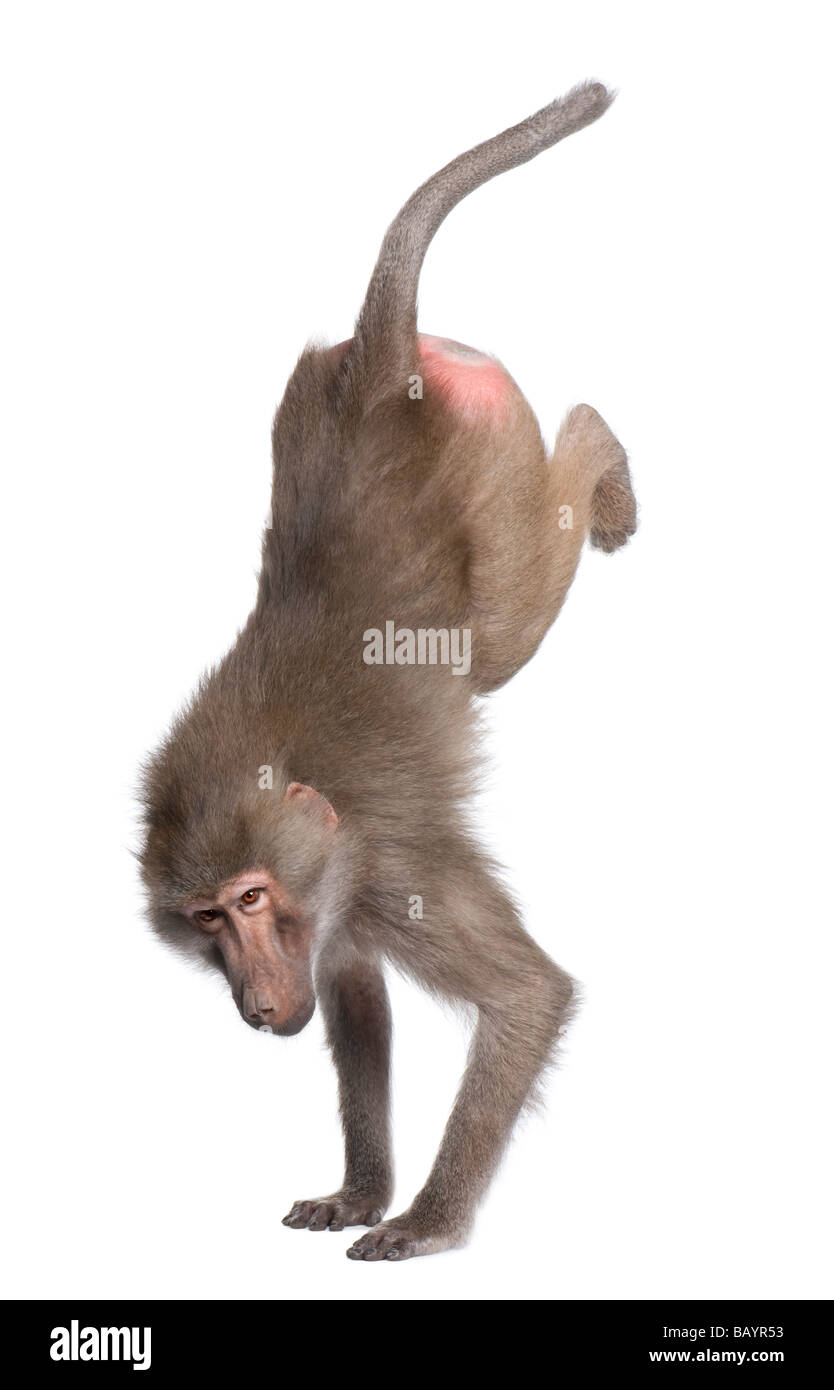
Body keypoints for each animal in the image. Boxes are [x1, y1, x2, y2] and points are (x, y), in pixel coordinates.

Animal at [139, 81, 637, 1262]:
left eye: (251, 895)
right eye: (207, 917)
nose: (258, 1006)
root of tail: (373, 373)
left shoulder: (393, 859)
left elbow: (527, 994)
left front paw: (427, 1221)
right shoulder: (340, 904)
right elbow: (356, 1000)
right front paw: (360, 1191)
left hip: (483, 460)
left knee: (507, 622)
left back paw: (601, 466)